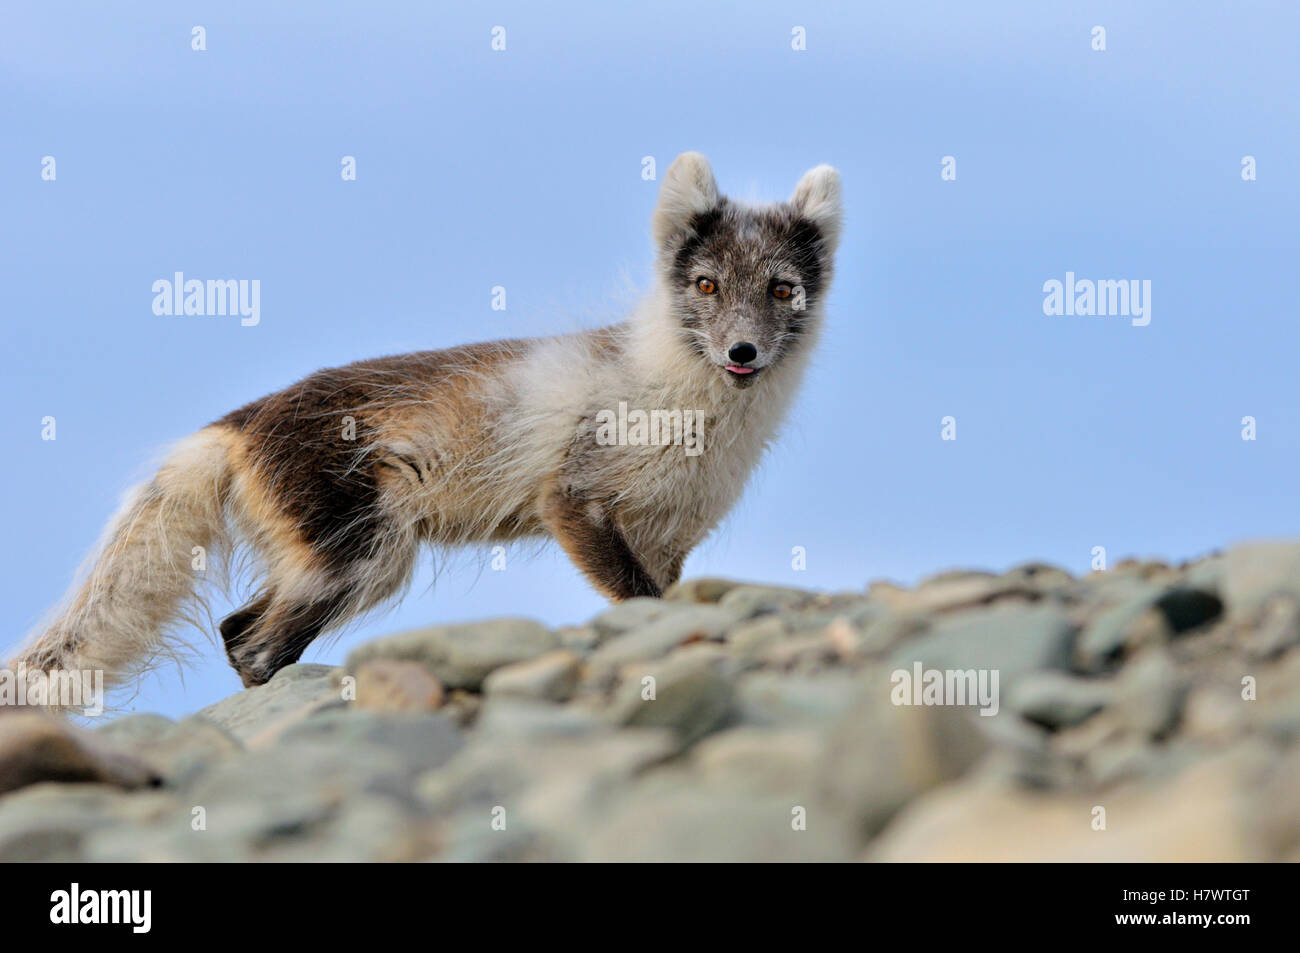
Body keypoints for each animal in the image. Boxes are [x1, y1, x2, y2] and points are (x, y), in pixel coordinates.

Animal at [11, 153, 842, 692]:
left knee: (236, 629)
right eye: (706, 285)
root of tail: (238, 420)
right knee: (251, 645)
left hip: (342, 564)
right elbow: (638, 598)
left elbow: (659, 596)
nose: (742, 352)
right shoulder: (575, 498)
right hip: (361, 554)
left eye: (781, 289)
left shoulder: (671, 535)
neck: (691, 409)